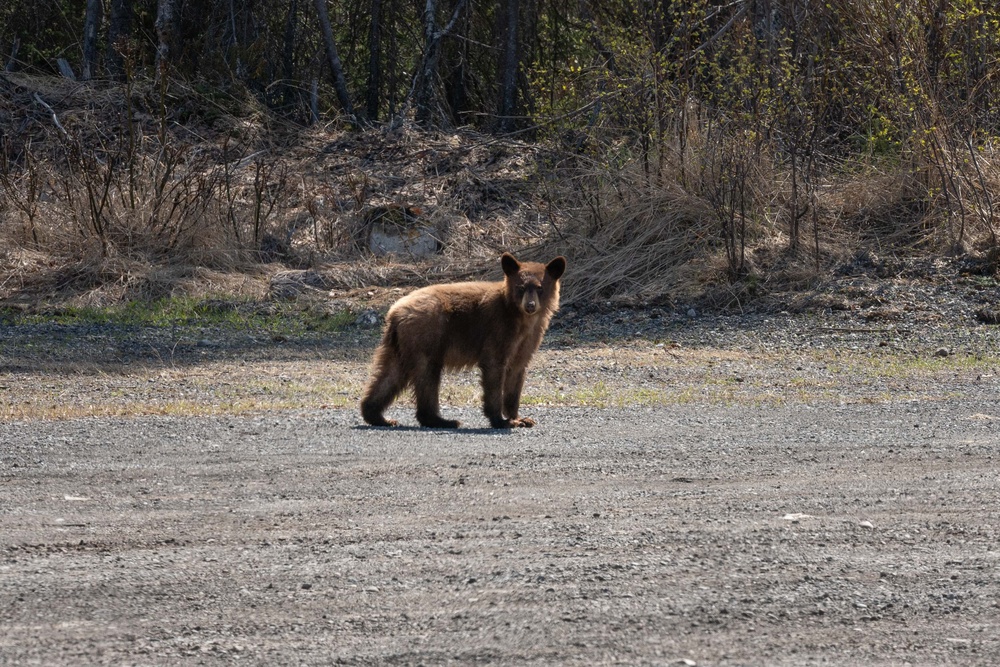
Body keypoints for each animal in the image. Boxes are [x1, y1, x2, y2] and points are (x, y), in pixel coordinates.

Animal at [360, 253, 567, 429]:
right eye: (521, 288)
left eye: (540, 288)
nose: (530, 305)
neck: (521, 319)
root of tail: (395, 312)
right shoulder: (499, 329)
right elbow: (494, 366)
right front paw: (501, 420)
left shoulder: (528, 339)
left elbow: (517, 372)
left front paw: (520, 418)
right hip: (426, 336)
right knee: (427, 374)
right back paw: (442, 420)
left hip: (400, 345)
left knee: (391, 374)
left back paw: (378, 416)